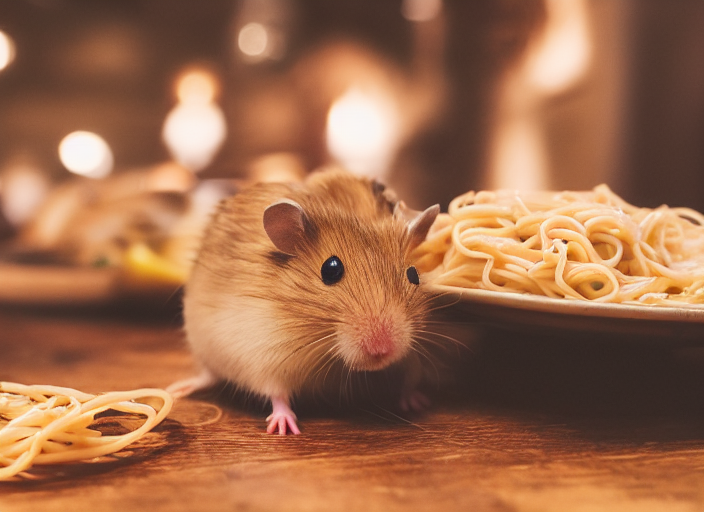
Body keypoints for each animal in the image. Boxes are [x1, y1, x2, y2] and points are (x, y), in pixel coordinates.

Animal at [167, 168, 439, 434]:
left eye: (413, 275)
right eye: (330, 269)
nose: (383, 351)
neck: (330, 355)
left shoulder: (409, 354)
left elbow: (409, 378)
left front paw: (417, 402)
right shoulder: (262, 354)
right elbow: (277, 394)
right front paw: (284, 427)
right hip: (203, 346)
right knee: (208, 375)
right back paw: (178, 389)